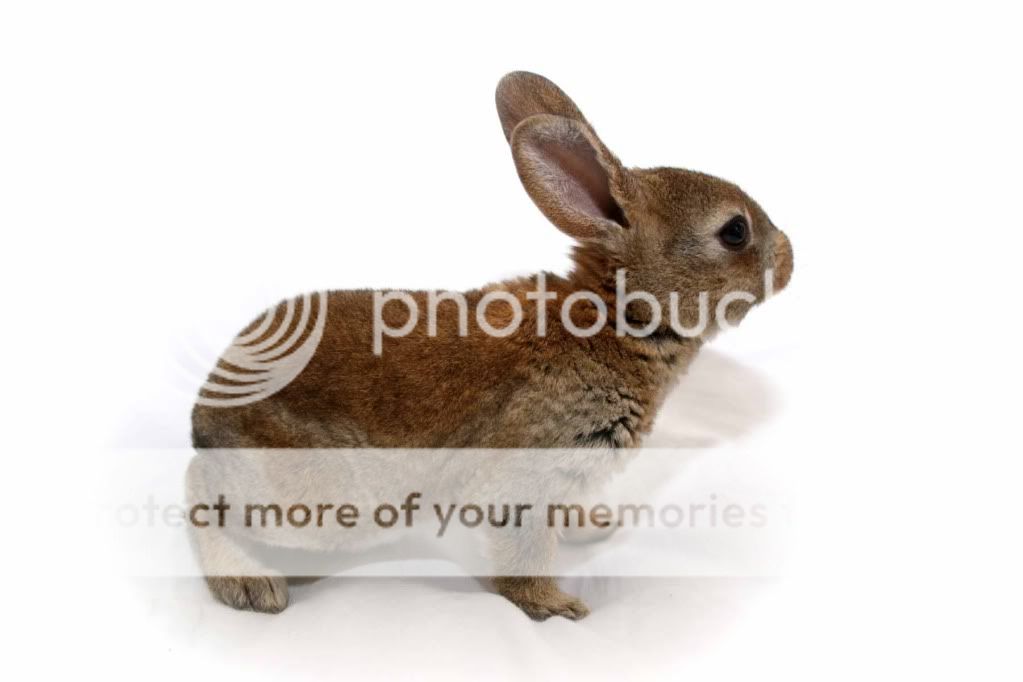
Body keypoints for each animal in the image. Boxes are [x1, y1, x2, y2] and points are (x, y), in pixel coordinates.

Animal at [187, 71, 794, 620]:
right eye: (734, 232)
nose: (789, 258)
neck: (618, 317)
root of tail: (206, 412)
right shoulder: (528, 472)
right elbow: (522, 551)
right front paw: (555, 606)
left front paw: (590, 527)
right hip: (320, 505)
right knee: (201, 495)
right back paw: (250, 586)